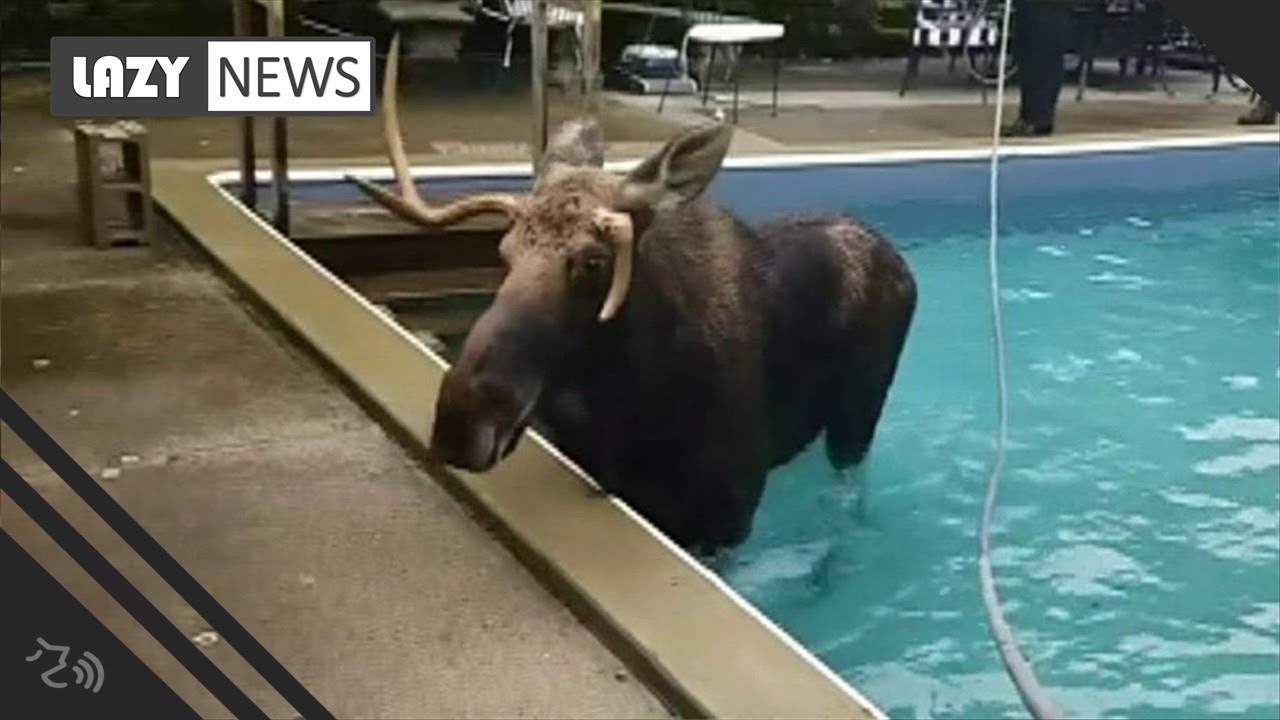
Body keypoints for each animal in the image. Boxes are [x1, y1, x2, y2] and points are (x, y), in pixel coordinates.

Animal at [349, 35, 917, 553]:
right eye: (503, 251)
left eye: (595, 262)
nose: (461, 420)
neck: (630, 404)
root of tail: (900, 264)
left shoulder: (732, 507)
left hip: (859, 414)